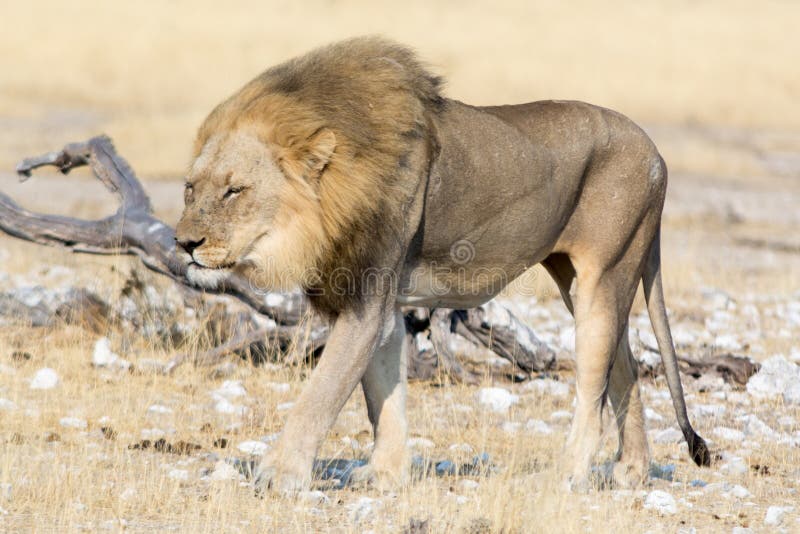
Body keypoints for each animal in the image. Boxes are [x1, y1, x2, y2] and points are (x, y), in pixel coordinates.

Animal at [175, 36, 710, 492]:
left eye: (234, 190)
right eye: (190, 188)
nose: (182, 243)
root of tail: (657, 153)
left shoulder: (366, 301)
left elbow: (321, 393)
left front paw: (278, 474)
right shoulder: (384, 306)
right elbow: (383, 395)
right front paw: (385, 475)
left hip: (606, 274)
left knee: (593, 386)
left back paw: (565, 476)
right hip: (580, 281)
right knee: (627, 369)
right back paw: (631, 471)